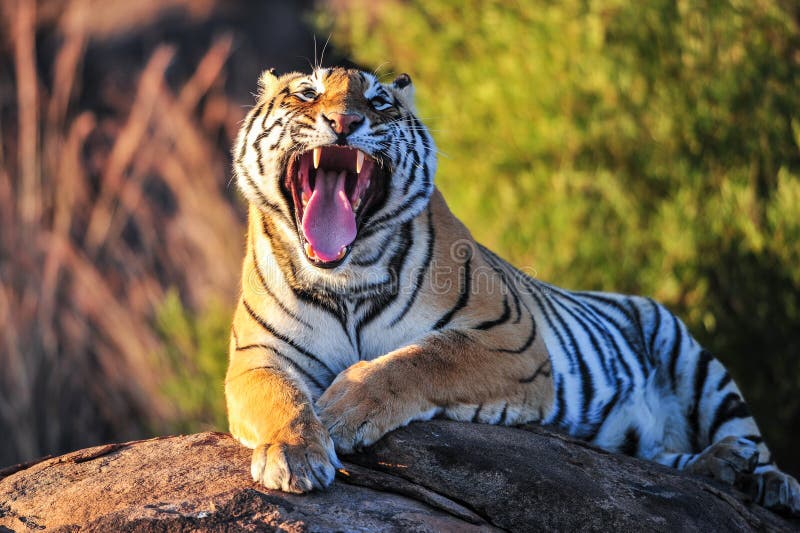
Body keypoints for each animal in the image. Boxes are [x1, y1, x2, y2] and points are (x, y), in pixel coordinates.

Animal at [225, 66, 800, 515]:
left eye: (378, 100)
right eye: (307, 93)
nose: (345, 122)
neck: (345, 277)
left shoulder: (509, 338)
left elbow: (419, 360)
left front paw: (345, 408)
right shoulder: (257, 354)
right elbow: (278, 397)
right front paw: (294, 454)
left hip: (695, 361)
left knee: (751, 439)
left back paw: (767, 479)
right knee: (662, 457)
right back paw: (723, 466)